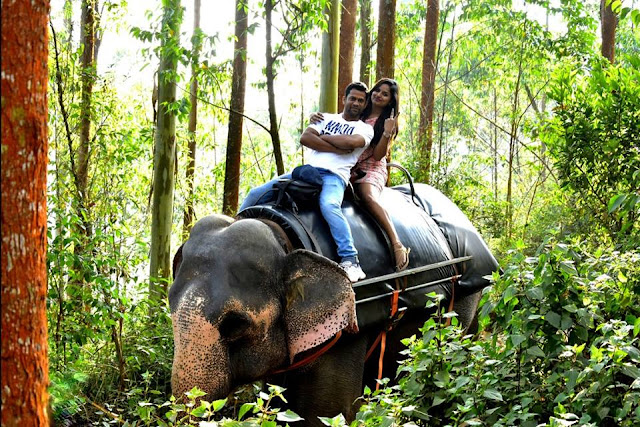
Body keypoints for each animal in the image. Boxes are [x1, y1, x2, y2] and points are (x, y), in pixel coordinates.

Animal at [169, 183, 499, 425]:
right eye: (169, 310)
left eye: (235, 325)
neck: (285, 239)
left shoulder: (346, 336)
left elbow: (324, 414)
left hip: (465, 300)